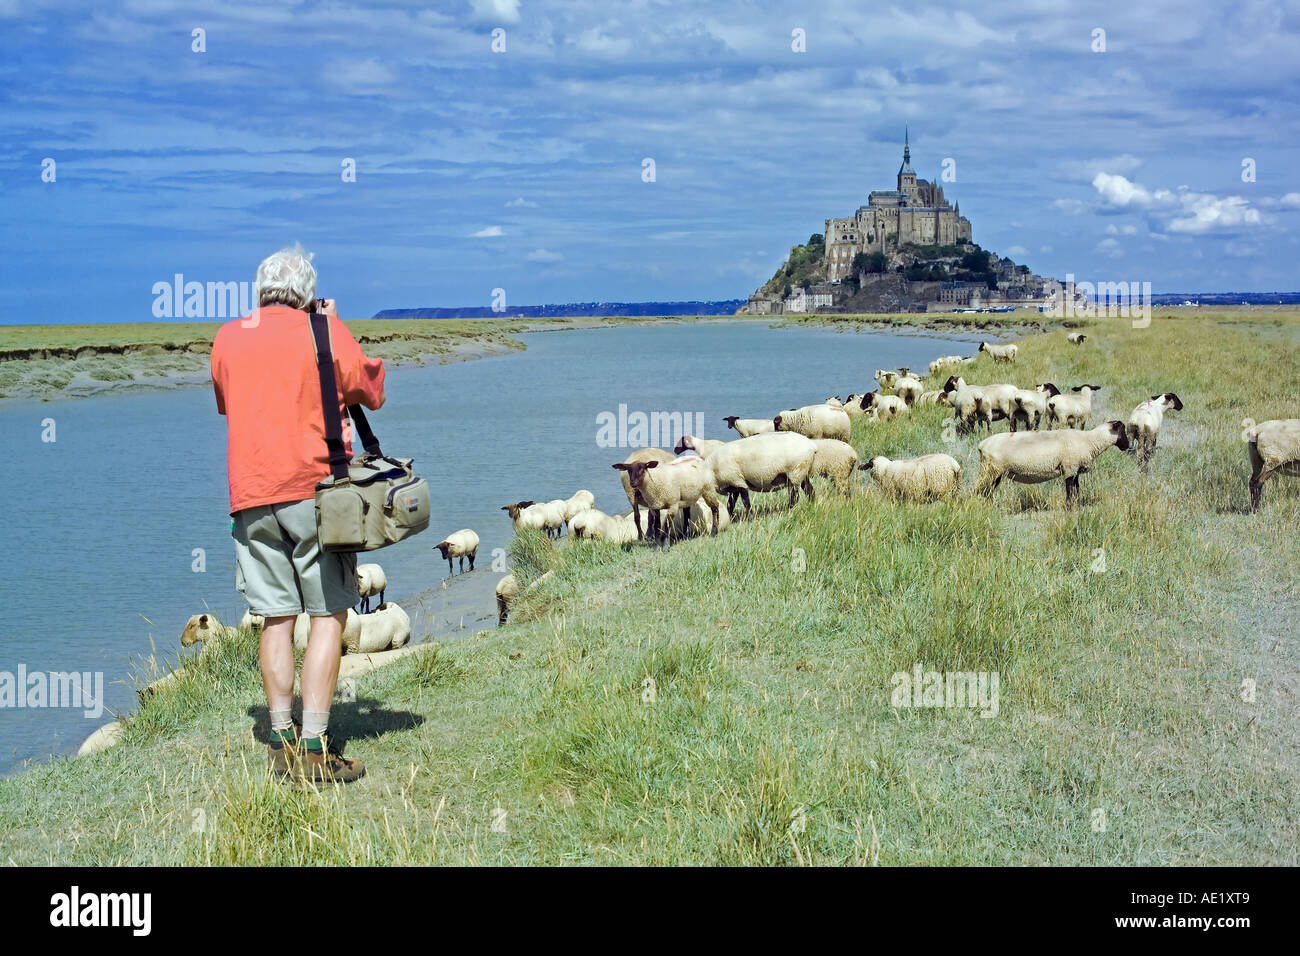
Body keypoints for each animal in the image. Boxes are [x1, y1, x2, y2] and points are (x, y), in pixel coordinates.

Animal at [975, 420, 1130, 506]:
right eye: (1123, 430)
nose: (1128, 446)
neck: (1091, 441)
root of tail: (982, 445)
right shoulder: (1069, 468)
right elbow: (1070, 490)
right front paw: (1069, 508)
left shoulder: (1074, 470)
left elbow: (1076, 489)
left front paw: (1076, 506)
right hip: (989, 470)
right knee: (979, 489)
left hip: (995, 472)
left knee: (987, 491)